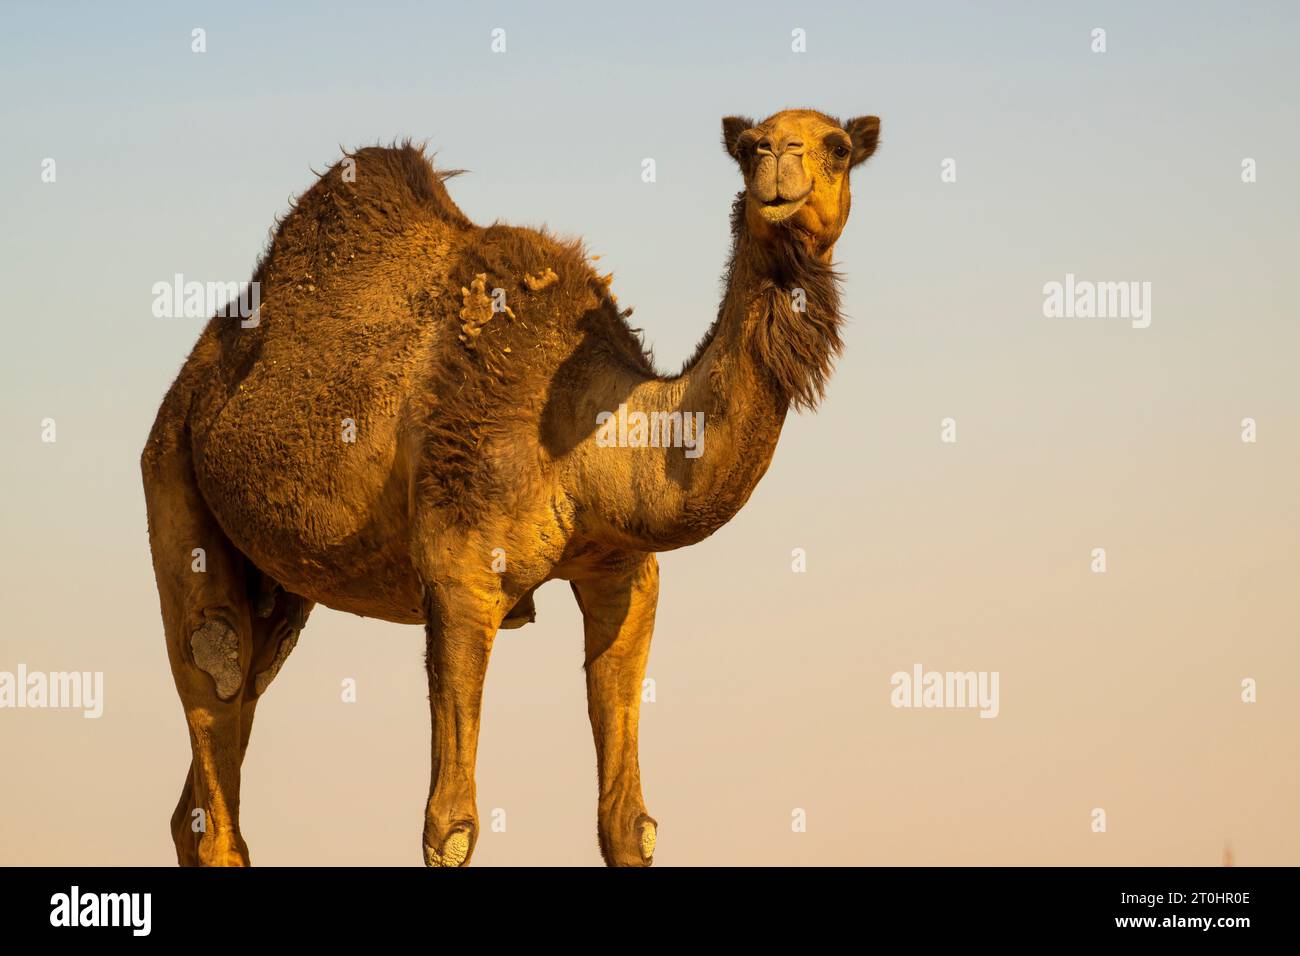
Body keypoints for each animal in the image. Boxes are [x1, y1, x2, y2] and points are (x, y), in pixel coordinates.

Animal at [141, 108, 880, 867]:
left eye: (838, 148)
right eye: (752, 146)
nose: (779, 166)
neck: (588, 440)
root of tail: (189, 387)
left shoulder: (622, 573)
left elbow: (630, 823)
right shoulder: (461, 574)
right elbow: (451, 826)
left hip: (278, 590)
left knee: (217, 744)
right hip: (171, 473)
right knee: (212, 671)